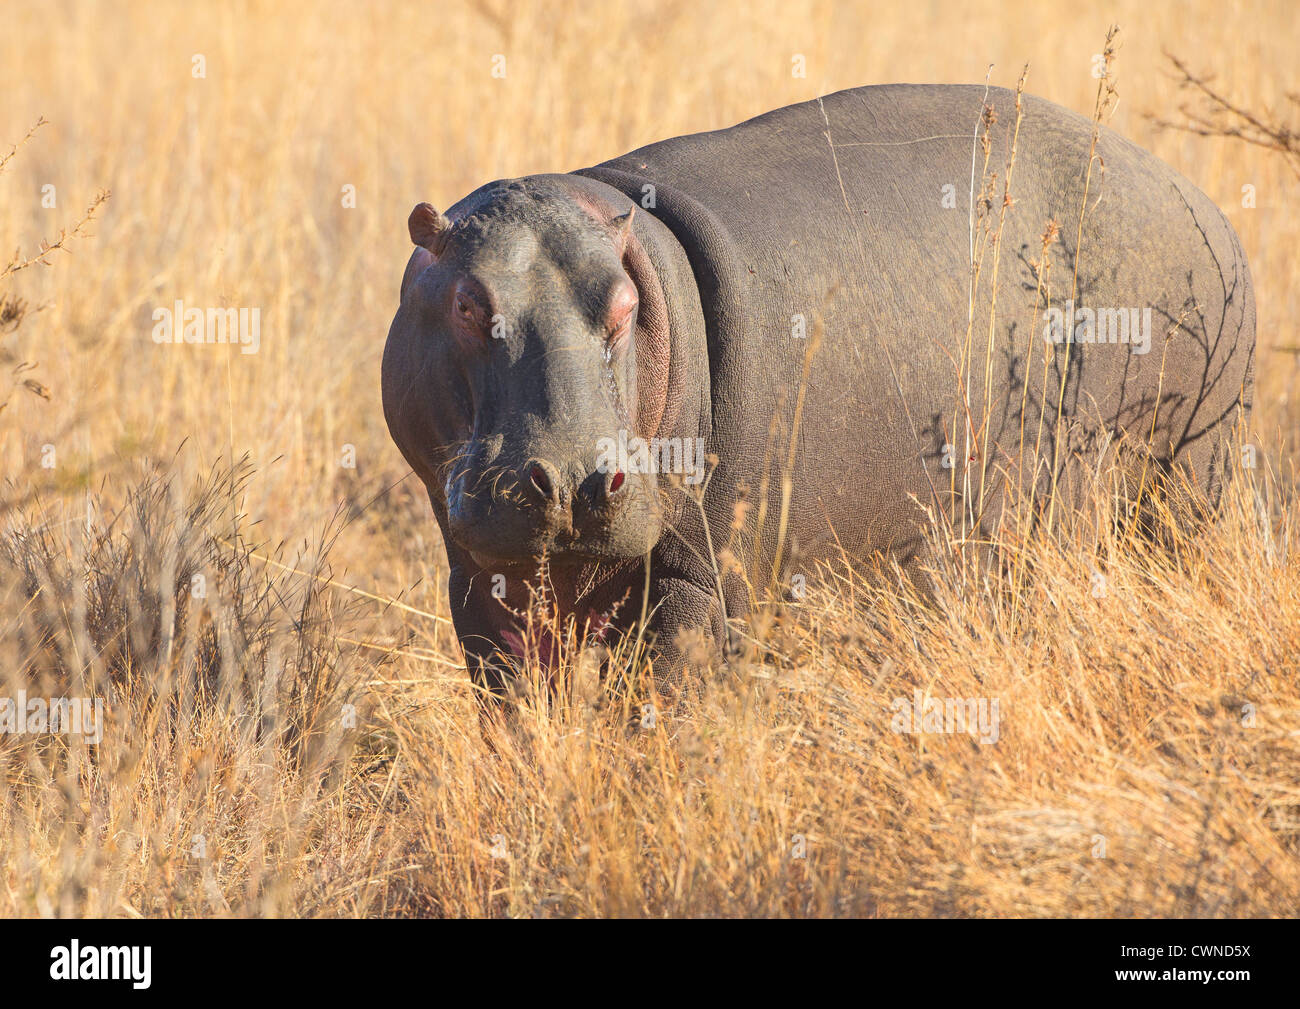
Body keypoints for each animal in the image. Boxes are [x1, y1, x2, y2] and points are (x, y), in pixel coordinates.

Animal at [382, 84, 1255, 694]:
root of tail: (1205, 207)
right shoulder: (480, 581)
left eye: (625, 304)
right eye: (467, 302)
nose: (571, 480)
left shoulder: (691, 579)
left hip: (1191, 482)